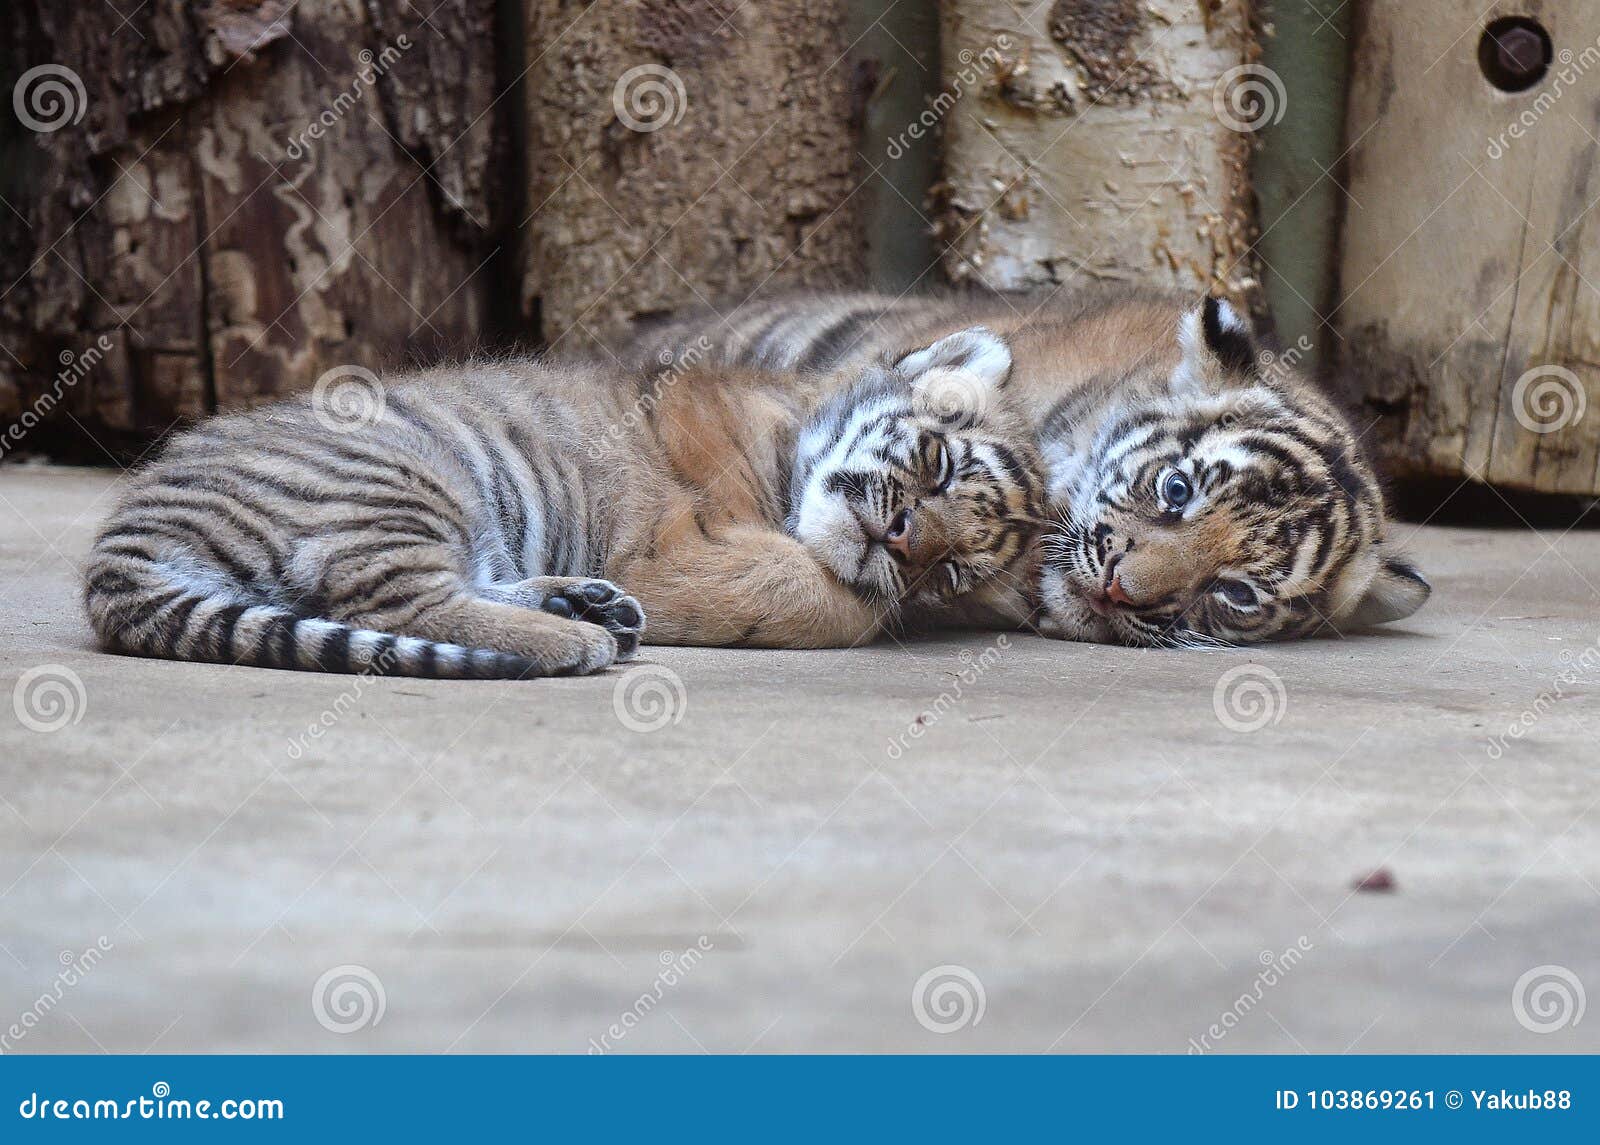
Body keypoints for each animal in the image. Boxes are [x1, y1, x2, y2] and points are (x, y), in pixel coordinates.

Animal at [82, 328, 1043, 679]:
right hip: (399, 480)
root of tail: (126, 531)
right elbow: (826, 597)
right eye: (935, 461)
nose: (904, 543)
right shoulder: (666, 549)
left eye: (952, 570)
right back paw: (575, 637)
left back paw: (584, 606)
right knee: (394, 600)